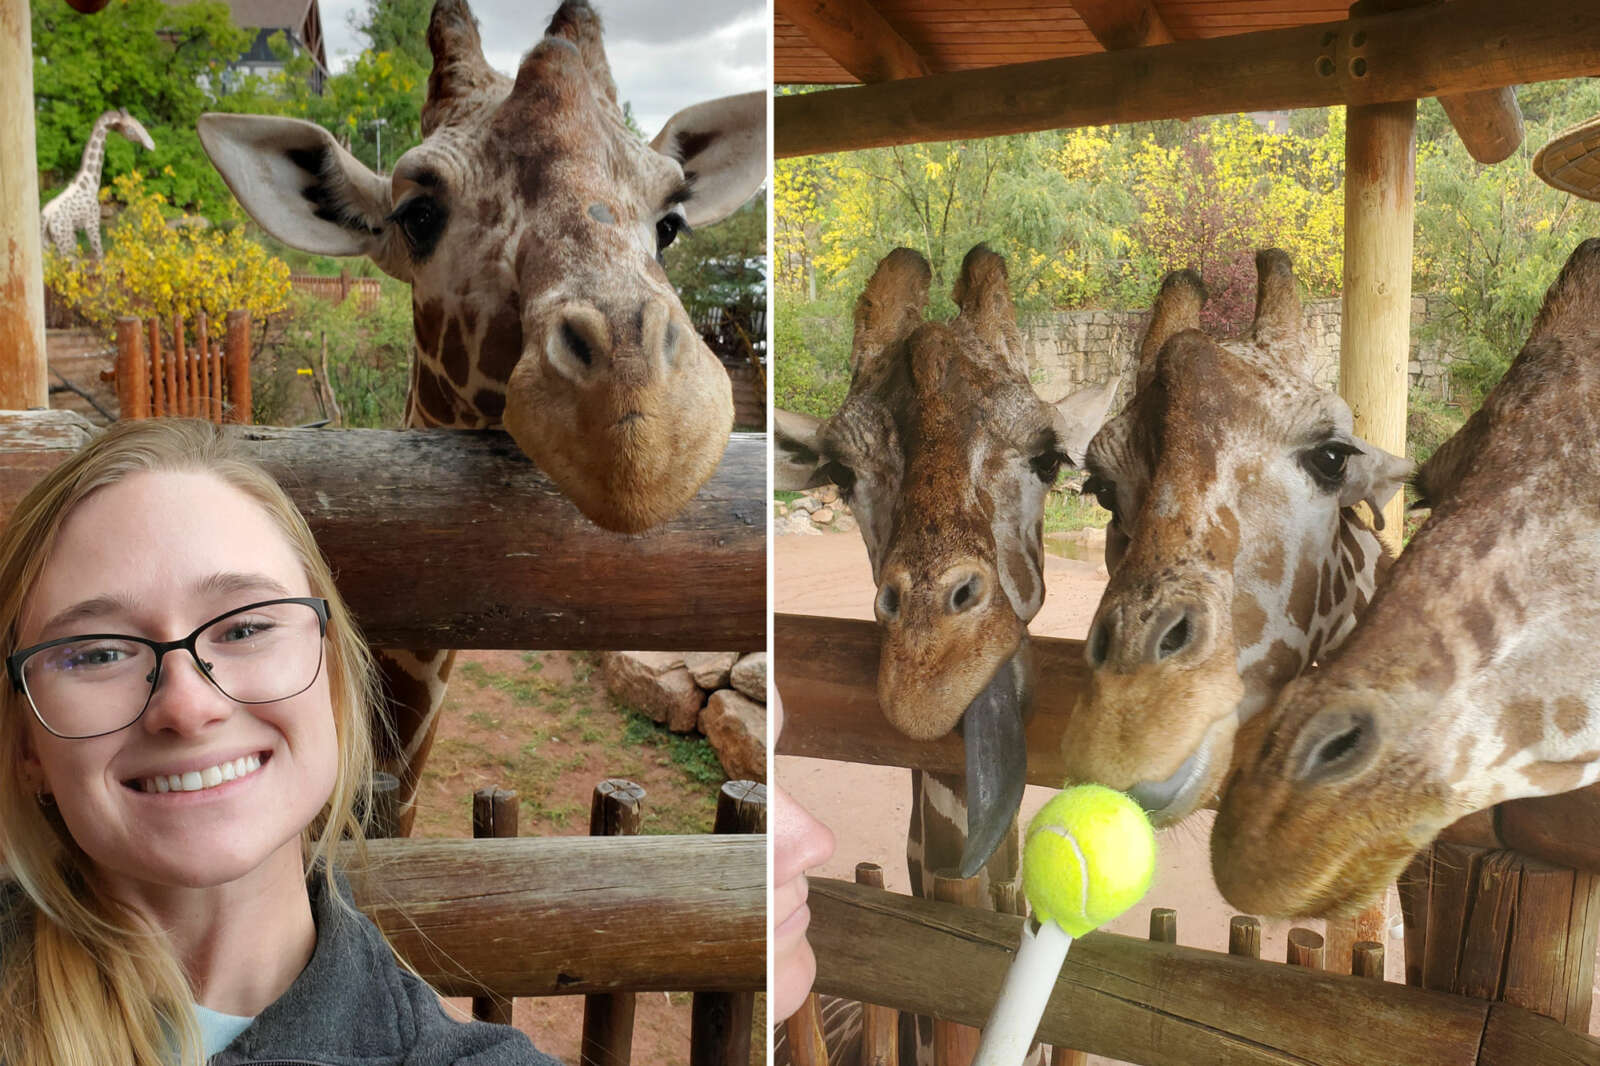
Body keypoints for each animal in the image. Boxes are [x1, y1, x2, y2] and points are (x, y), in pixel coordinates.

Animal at [40, 108, 154, 258]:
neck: (90, 182)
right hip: (65, 241)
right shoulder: (92, 223)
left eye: (139, 123)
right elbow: (100, 257)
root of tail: (45, 218)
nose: (152, 145)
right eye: (130, 129)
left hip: (51, 244)